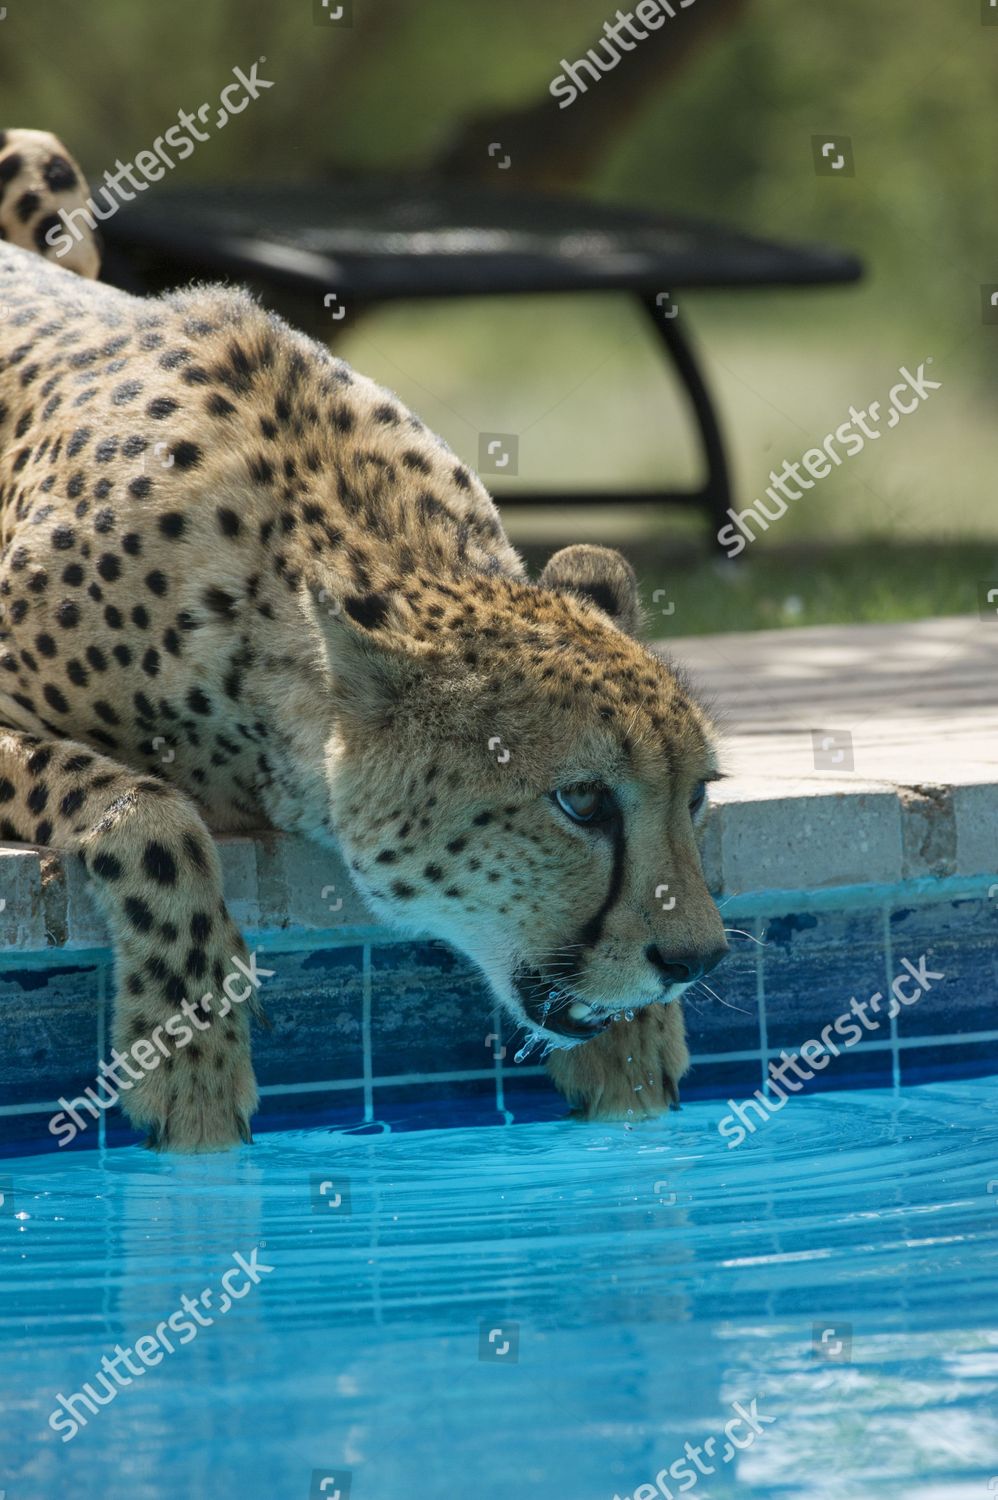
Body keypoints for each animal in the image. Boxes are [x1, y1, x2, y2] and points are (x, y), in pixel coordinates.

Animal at [0, 128, 728, 1152]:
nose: (697, 960)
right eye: (582, 801)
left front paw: (634, 1039)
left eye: (697, 795)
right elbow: (148, 816)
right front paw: (191, 1058)